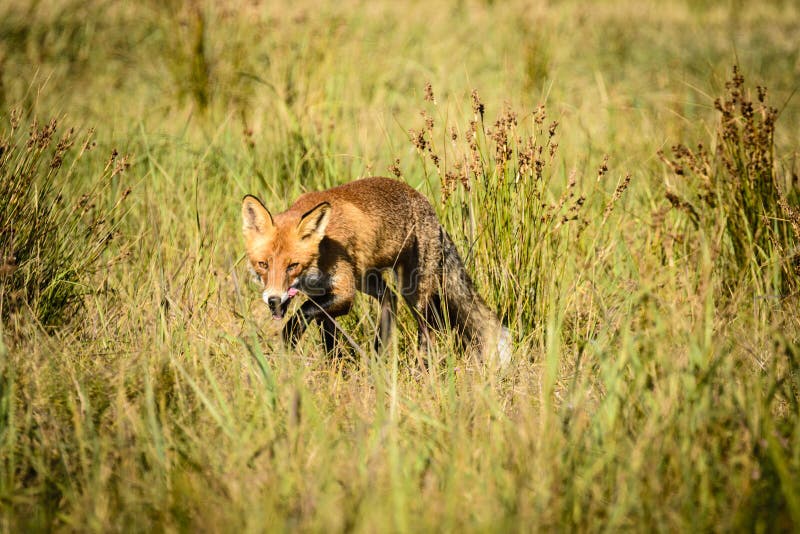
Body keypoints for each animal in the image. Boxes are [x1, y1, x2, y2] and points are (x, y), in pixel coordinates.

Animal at [241, 178, 510, 366]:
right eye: (263, 265)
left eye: (292, 266)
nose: (273, 299)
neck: (324, 246)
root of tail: (431, 211)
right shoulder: (323, 294)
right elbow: (326, 336)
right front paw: (332, 369)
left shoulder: (344, 293)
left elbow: (303, 313)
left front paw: (288, 339)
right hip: (370, 281)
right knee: (389, 300)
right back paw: (379, 354)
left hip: (414, 291)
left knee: (431, 329)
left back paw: (420, 369)